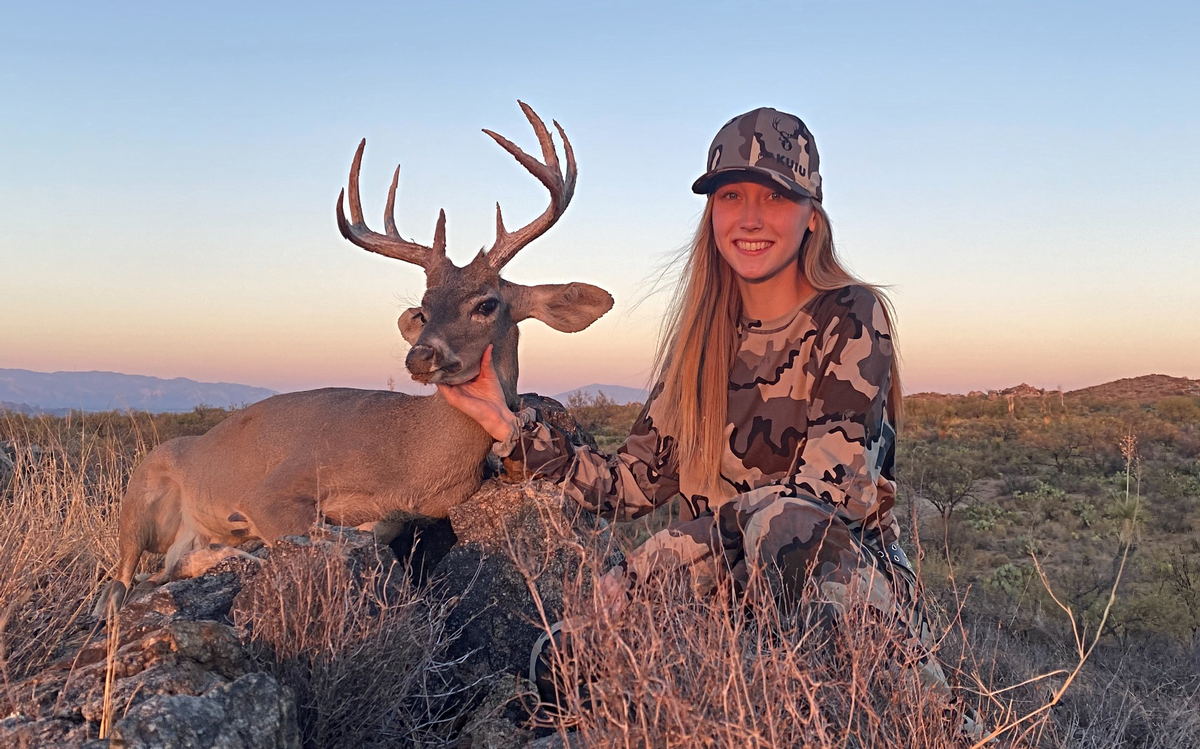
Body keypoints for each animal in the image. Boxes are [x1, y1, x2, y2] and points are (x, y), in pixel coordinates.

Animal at [94, 102, 613, 616]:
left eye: (486, 304)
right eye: (424, 308)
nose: (420, 356)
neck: (409, 461)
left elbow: (368, 530)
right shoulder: (274, 489)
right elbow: (315, 530)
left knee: (165, 566)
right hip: (138, 496)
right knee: (120, 581)